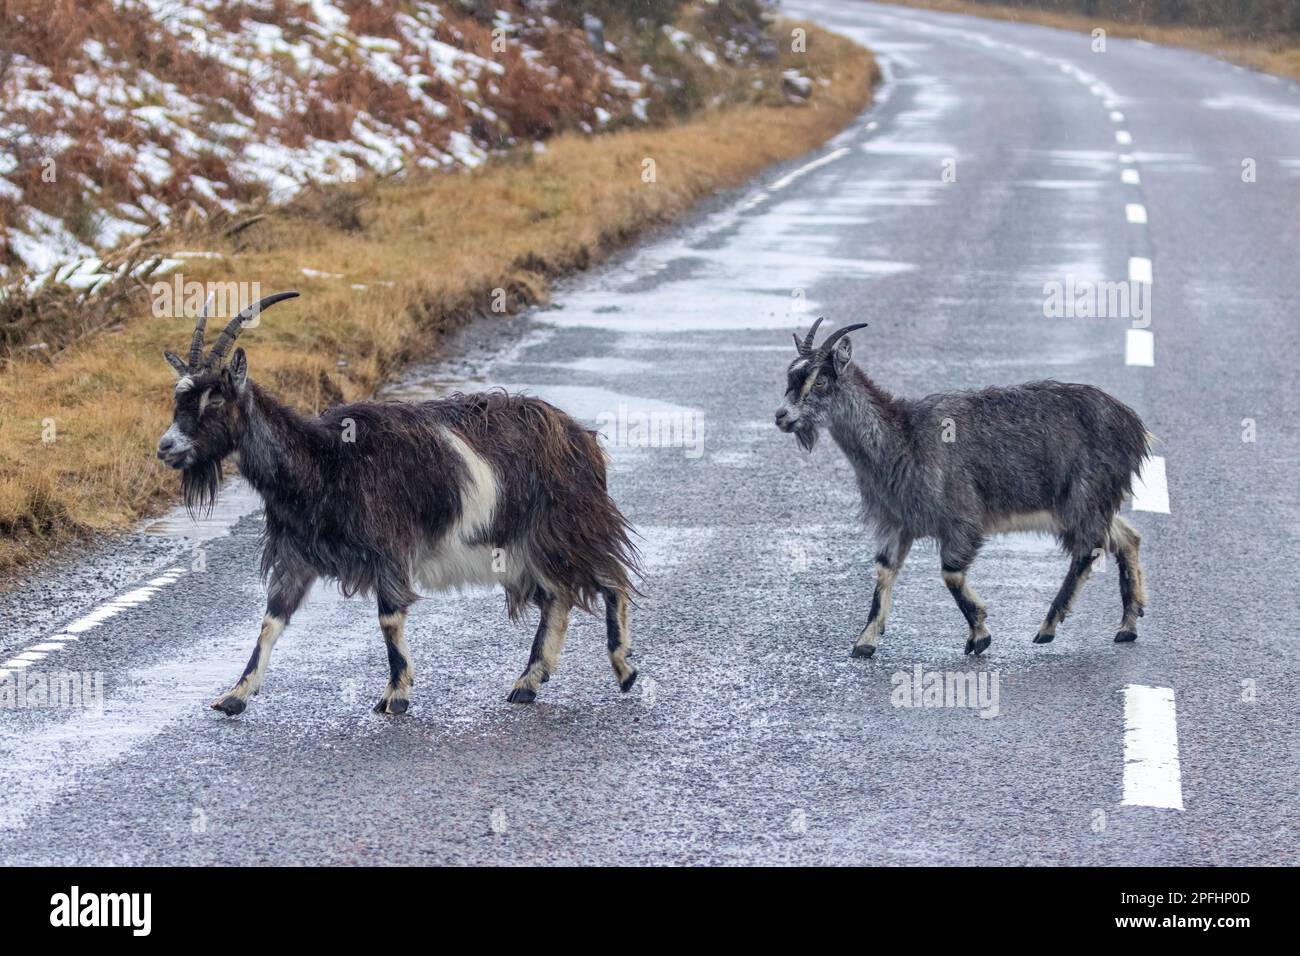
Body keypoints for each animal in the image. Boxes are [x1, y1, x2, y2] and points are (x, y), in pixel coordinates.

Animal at [157, 292, 640, 715]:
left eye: (216, 398)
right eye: (178, 399)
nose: (166, 447)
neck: (323, 462)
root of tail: (581, 436)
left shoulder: (387, 549)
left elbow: (389, 618)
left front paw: (396, 695)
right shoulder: (297, 556)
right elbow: (271, 621)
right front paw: (235, 695)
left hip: (567, 524)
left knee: (610, 580)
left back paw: (625, 670)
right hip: (525, 546)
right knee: (558, 598)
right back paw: (527, 683)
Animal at [774, 318, 1150, 657]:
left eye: (821, 380)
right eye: (791, 377)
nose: (781, 415)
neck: (904, 438)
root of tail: (1133, 424)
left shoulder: (961, 518)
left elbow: (951, 574)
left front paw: (979, 635)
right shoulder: (896, 521)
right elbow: (884, 571)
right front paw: (865, 641)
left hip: (1083, 496)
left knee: (1088, 549)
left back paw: (1048, 627)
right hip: (1087, 503)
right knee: (1126, 537)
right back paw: (1127, 625)